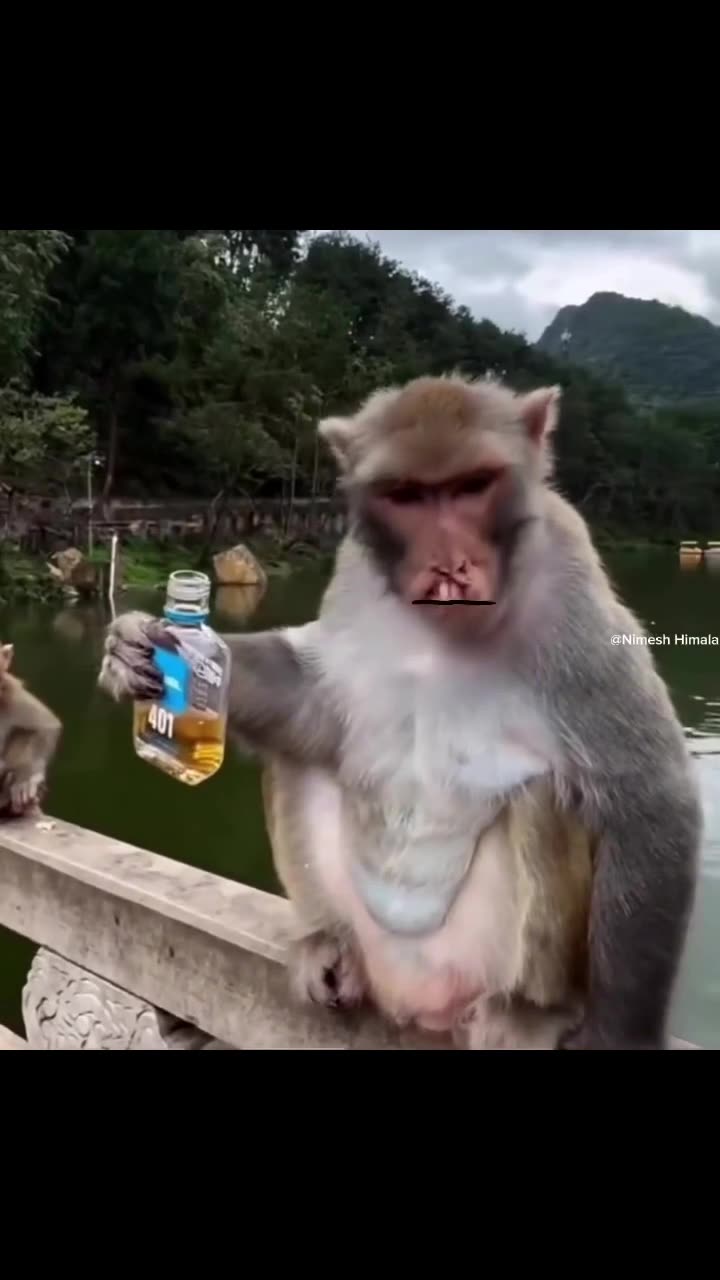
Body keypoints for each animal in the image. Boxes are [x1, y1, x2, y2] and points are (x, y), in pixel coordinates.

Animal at [97, 374, 702, 1050]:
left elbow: (647, 795)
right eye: (408, 495)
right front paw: (134, 648)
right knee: (297, 753)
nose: (447, 561)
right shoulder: (354, 571)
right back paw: (326, 945)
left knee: (544, 796)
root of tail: (416, 1003)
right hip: (374, 944)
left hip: (477, 962)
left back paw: (531, 1010)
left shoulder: (569, 579)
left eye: (471, 487)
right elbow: (315, 699)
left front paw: (617, 1031)